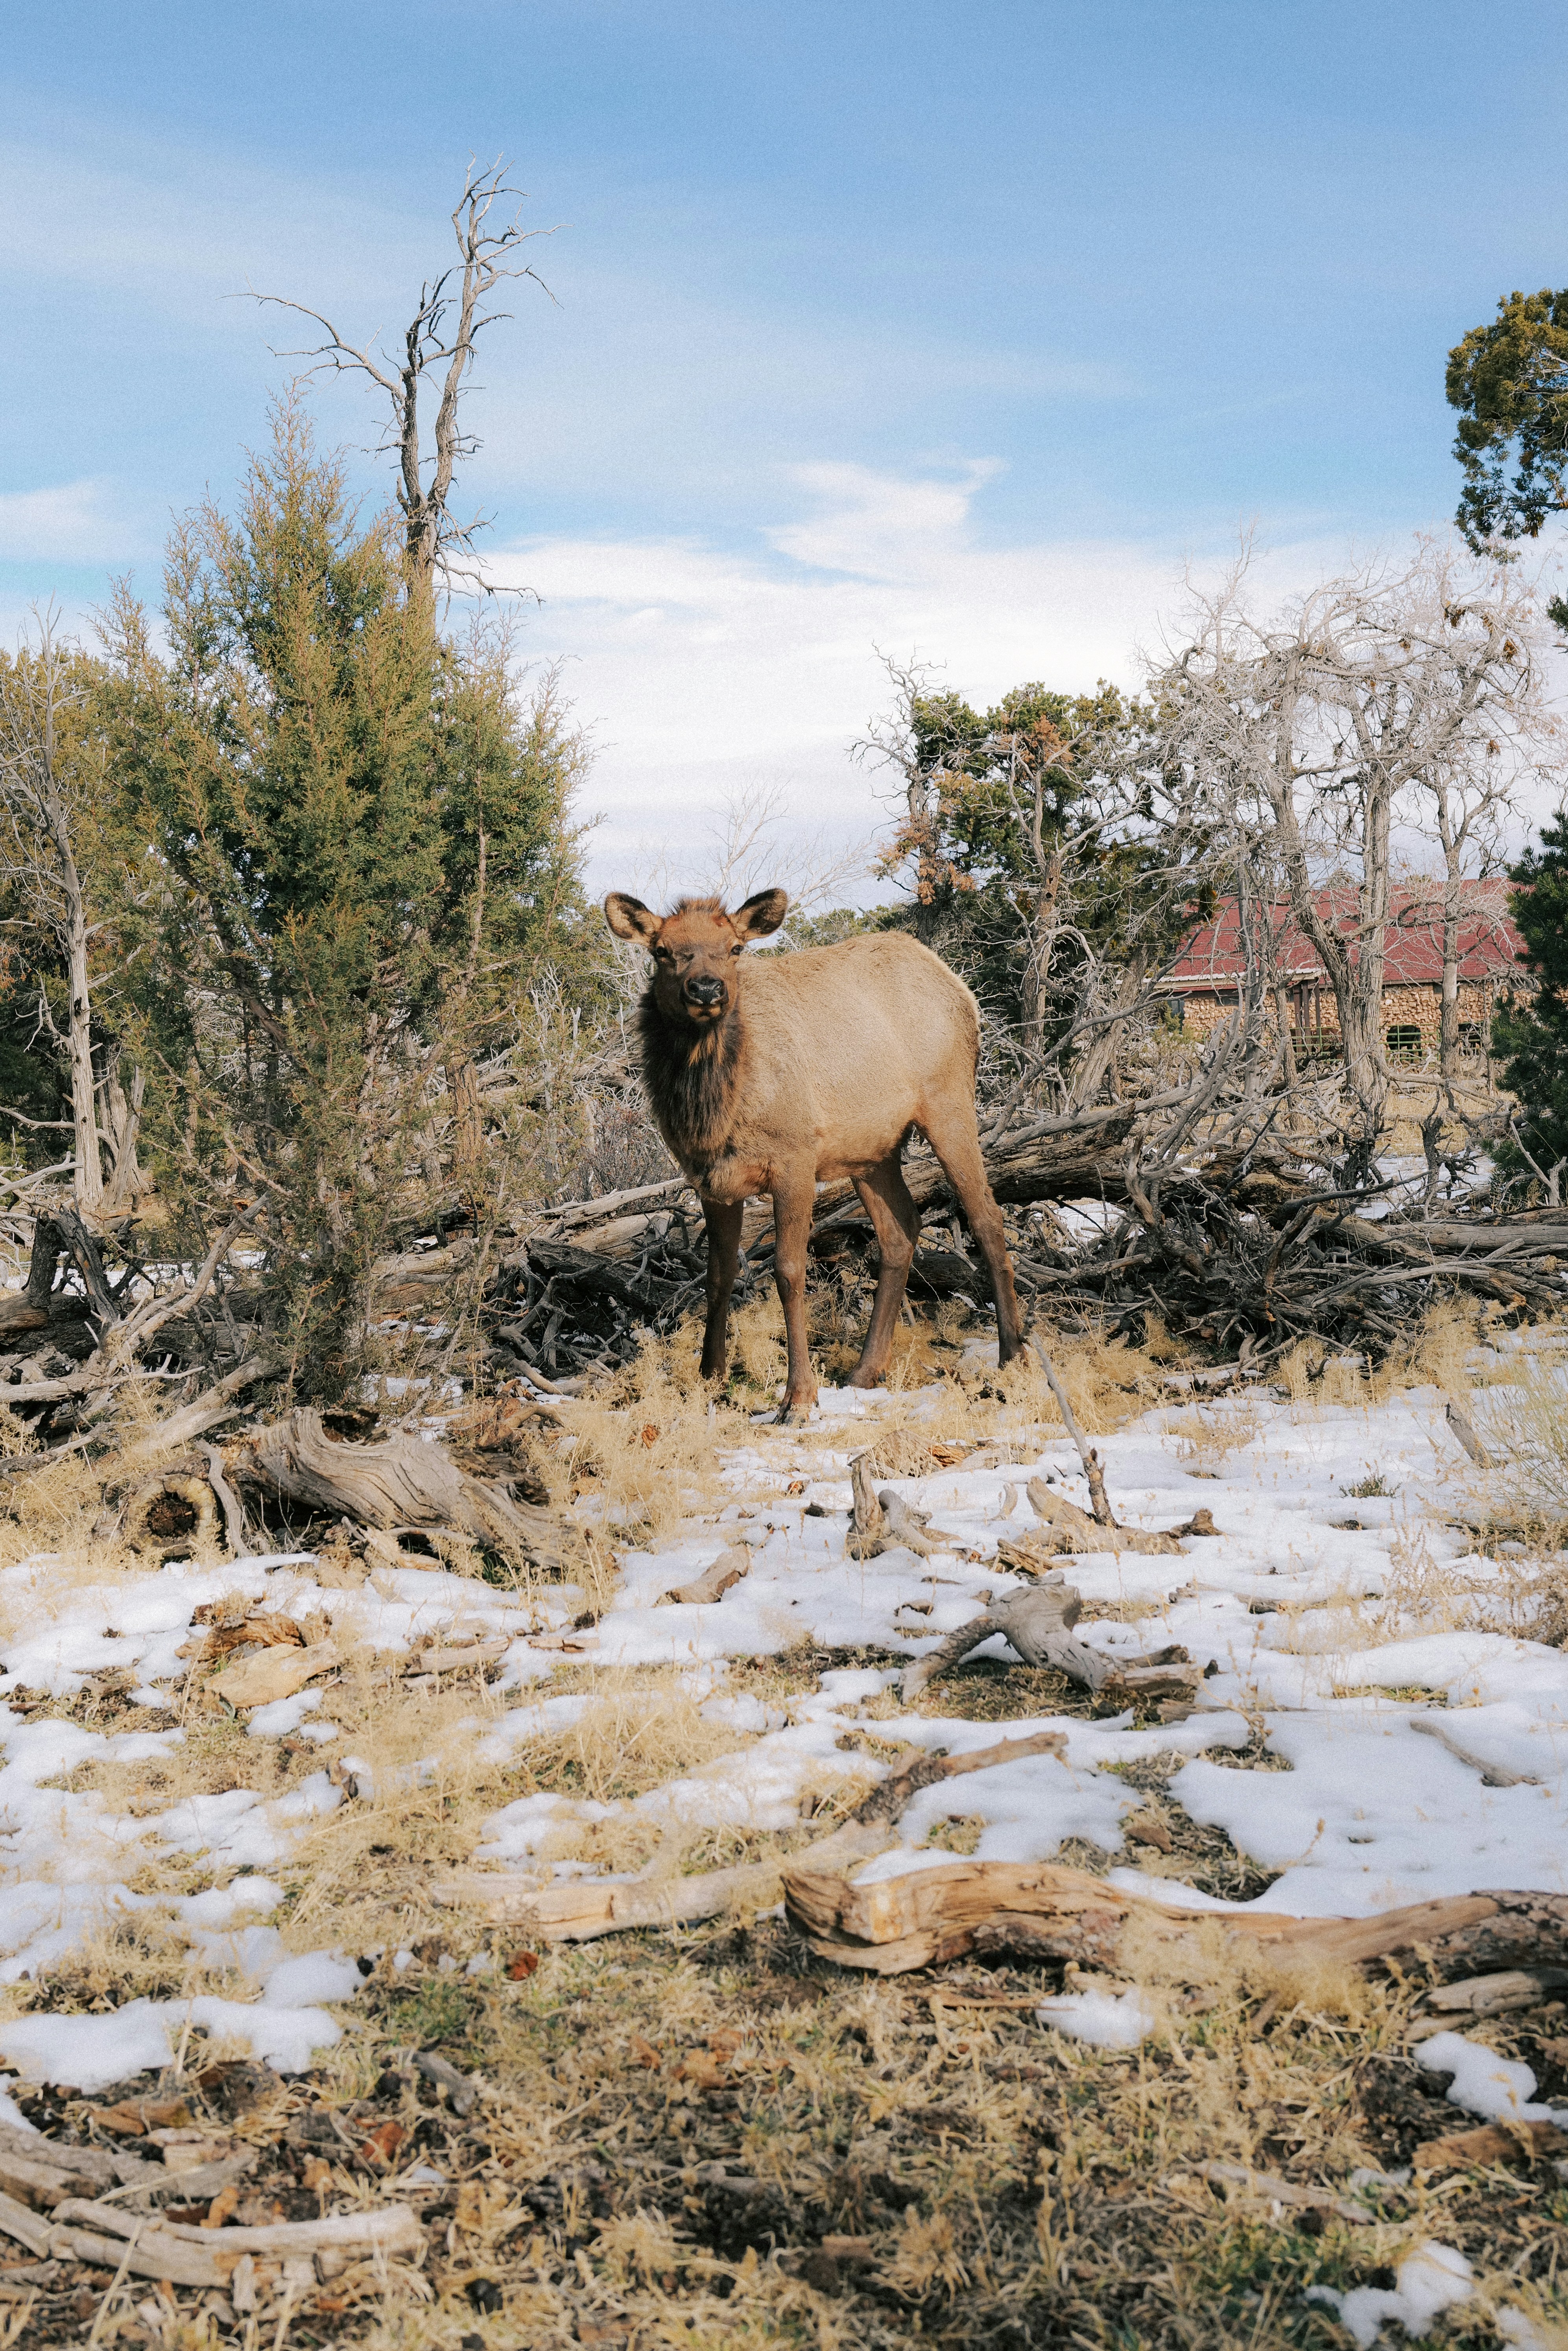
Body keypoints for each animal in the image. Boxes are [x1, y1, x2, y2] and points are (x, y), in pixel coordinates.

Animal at [604, 886, 1025, 1422]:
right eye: (662, 951)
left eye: (735, 948)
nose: (706, 989)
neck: (716, 1110)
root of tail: (962, 991)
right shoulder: (711, 1181)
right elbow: (716, 1277)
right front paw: (709, 1379)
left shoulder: (795, 1162)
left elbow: (788, 1273)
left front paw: (798, 1397)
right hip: (872, 1150)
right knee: (900, 1230)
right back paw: (866, 1370)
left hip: (949, 1105)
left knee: (987, 1217)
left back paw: (1012, 1356)